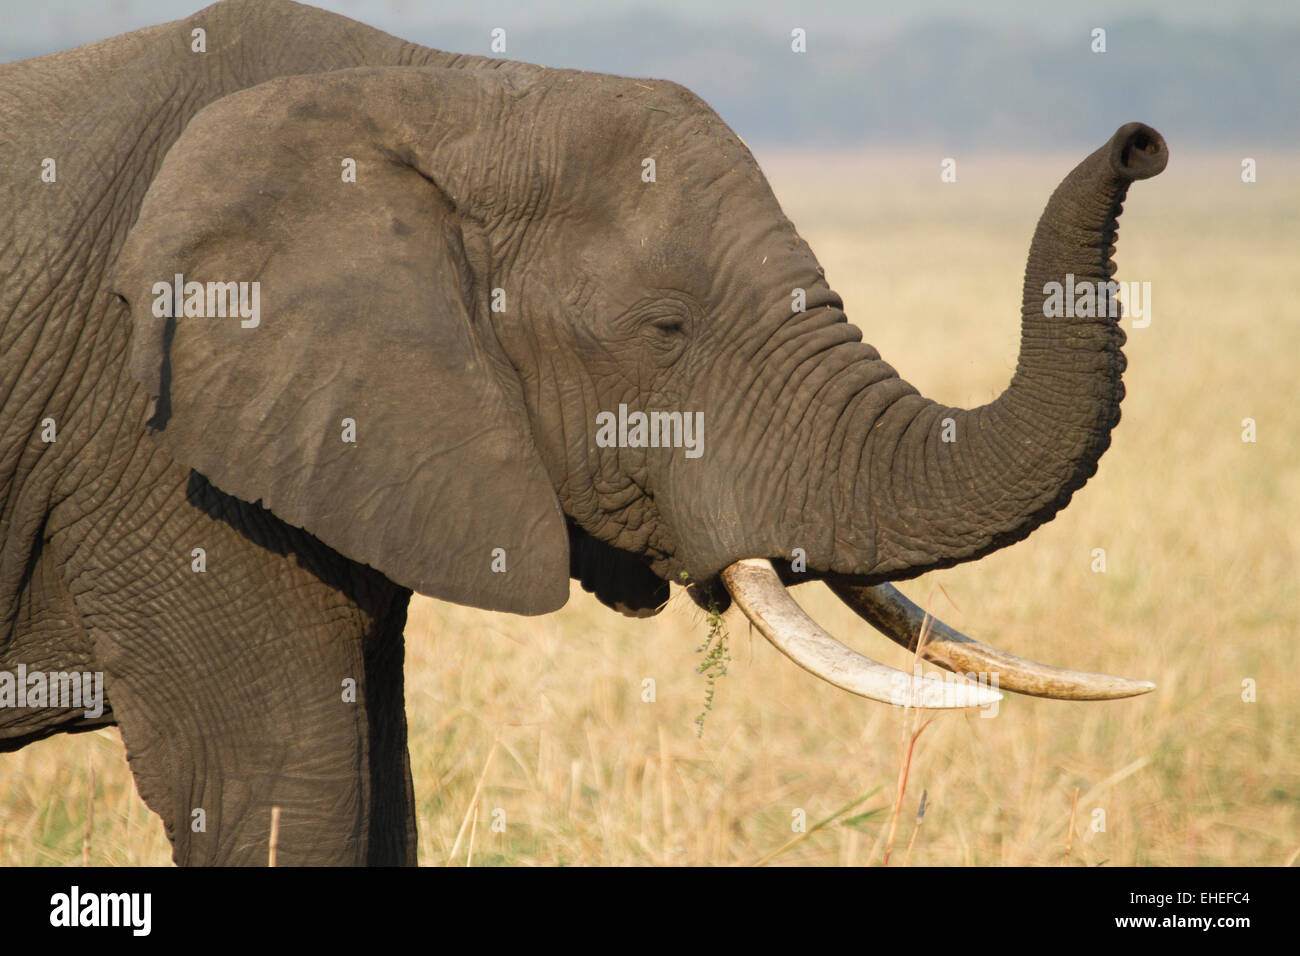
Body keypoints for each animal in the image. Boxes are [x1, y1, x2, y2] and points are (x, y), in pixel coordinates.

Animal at [0, 0, 1166, 865]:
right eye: (665, 329)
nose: (1140, 142)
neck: (442, 86)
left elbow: (379, 791)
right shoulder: (153, 444)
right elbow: (287, 785)